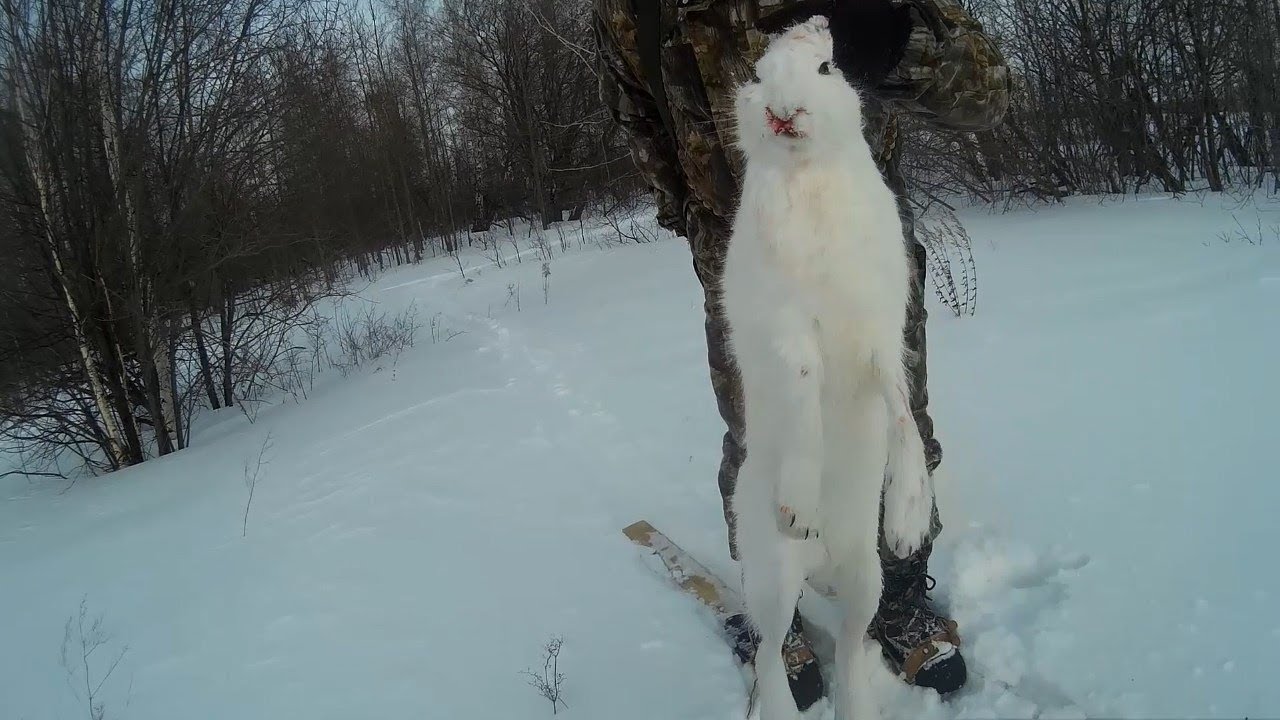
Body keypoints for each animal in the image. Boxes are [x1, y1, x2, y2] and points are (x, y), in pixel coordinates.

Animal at [721, 16, 934, 720]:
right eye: (757, 77)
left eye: (826, 70)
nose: (784, 113)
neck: (806, 174)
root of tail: (821, 565)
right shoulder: (792, 331)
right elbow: (805, 394)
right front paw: (797, 505)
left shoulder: (881, 337)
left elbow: (902, 412)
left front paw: (908, 522)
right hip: (767, 573)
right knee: (769, 646)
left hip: (866, 579)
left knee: (850, 636)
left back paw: (858, 704)